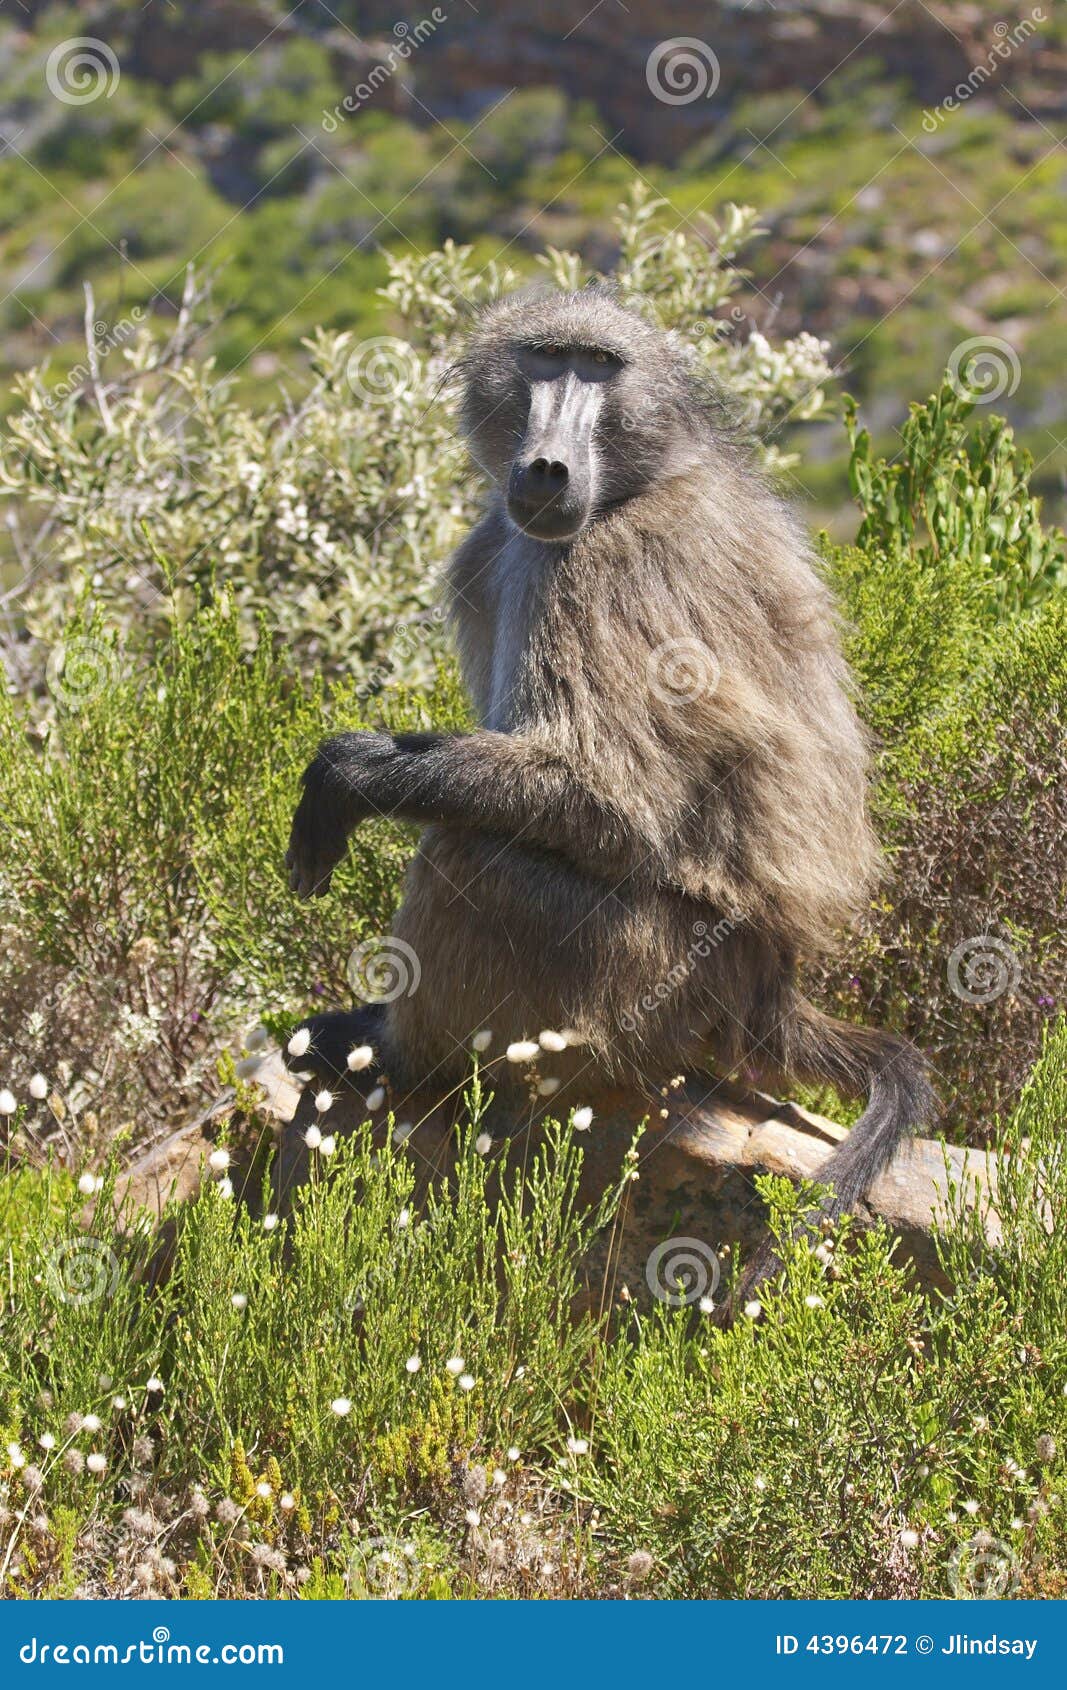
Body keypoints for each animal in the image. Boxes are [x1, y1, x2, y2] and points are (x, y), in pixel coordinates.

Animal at [283, 284, 933, 1273]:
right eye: (545, 359)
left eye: (599, 367)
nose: (547, 469)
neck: (635, 484)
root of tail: (769, 990)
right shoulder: (490, 550)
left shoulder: (613, 571)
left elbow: (608, 804)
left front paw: (351, 777)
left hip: (648, 985)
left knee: (466, 854)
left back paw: (401, 1058)